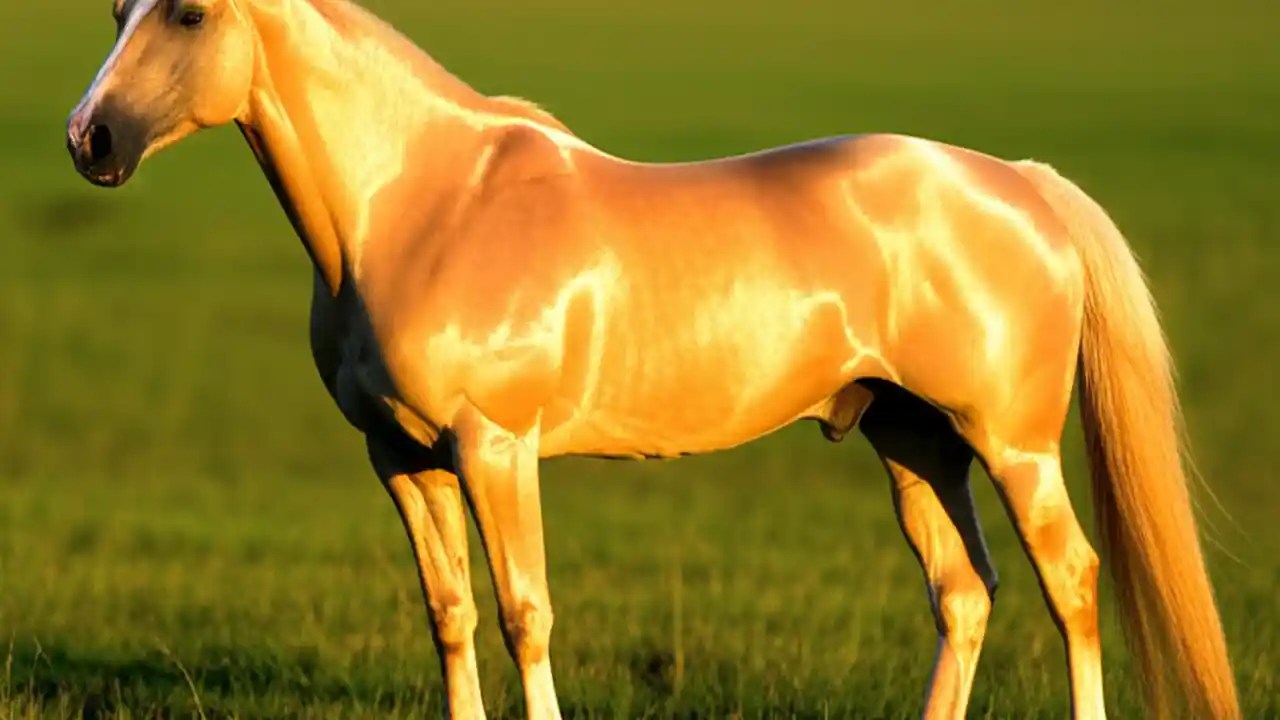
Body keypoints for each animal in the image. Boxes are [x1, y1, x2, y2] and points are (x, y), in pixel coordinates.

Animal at [65, 1, 1238, 718]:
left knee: (1069, 581)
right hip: (913, 443)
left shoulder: (495, 450)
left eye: (190, 12)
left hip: (1013, 445)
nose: (90, 140)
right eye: (115, 11)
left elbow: (523, 613)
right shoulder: (399, 460)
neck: (425, 205)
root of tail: (1020, 181)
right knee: (966, 593)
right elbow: (450, 617)